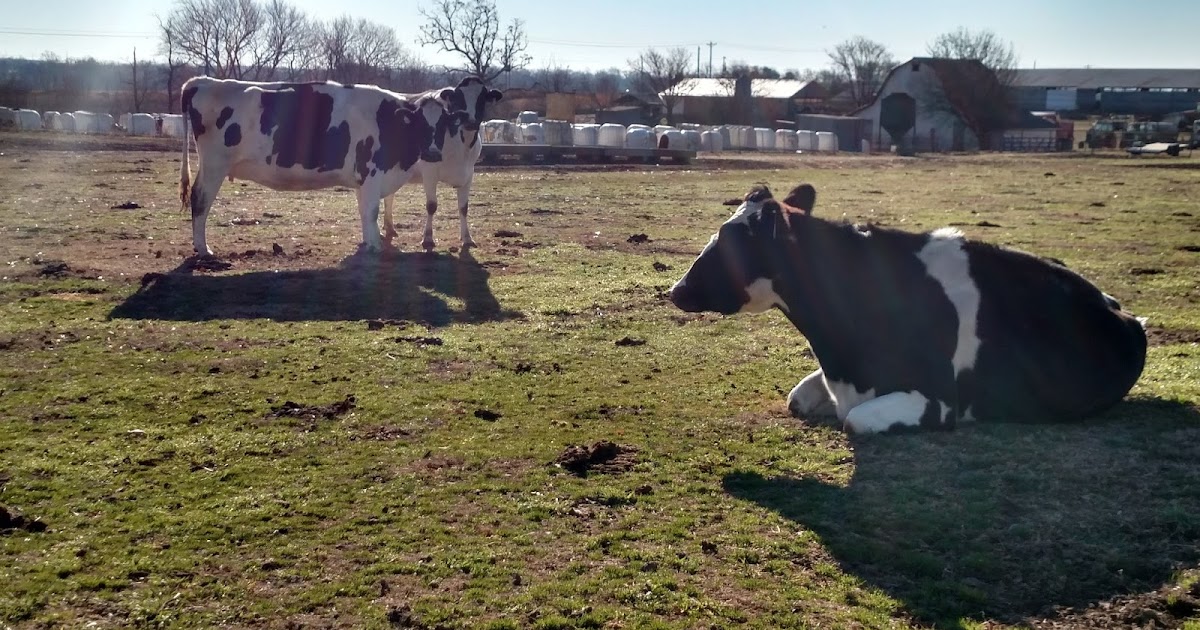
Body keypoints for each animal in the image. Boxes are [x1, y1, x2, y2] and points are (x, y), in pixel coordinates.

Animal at [178, 77, 467, 256]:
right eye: (420, 124)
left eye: (443, 125)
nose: (432, 153)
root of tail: (201, 82)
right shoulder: (372, 172)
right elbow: (372, 211)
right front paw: (374, 246)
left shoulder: (363, 179)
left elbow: (364, 211)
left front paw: (367, 242)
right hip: (215, 164)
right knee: (200, 200)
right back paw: (203, 248)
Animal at [380, 77, 503, 250]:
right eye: (458, 98)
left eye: (482, 99)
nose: (470, 121)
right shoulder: (429, 172)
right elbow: (432, 205)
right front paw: (428, 238)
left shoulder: (469, 173)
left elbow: (464, 208)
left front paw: (467, 238)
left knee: (389, 195)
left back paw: (390, 227)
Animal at [668, 183, 1148, 434]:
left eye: (731, 243)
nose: (676, 289)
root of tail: (1121, 311)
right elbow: (798, 398)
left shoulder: (938, 400)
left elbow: (856, 421)